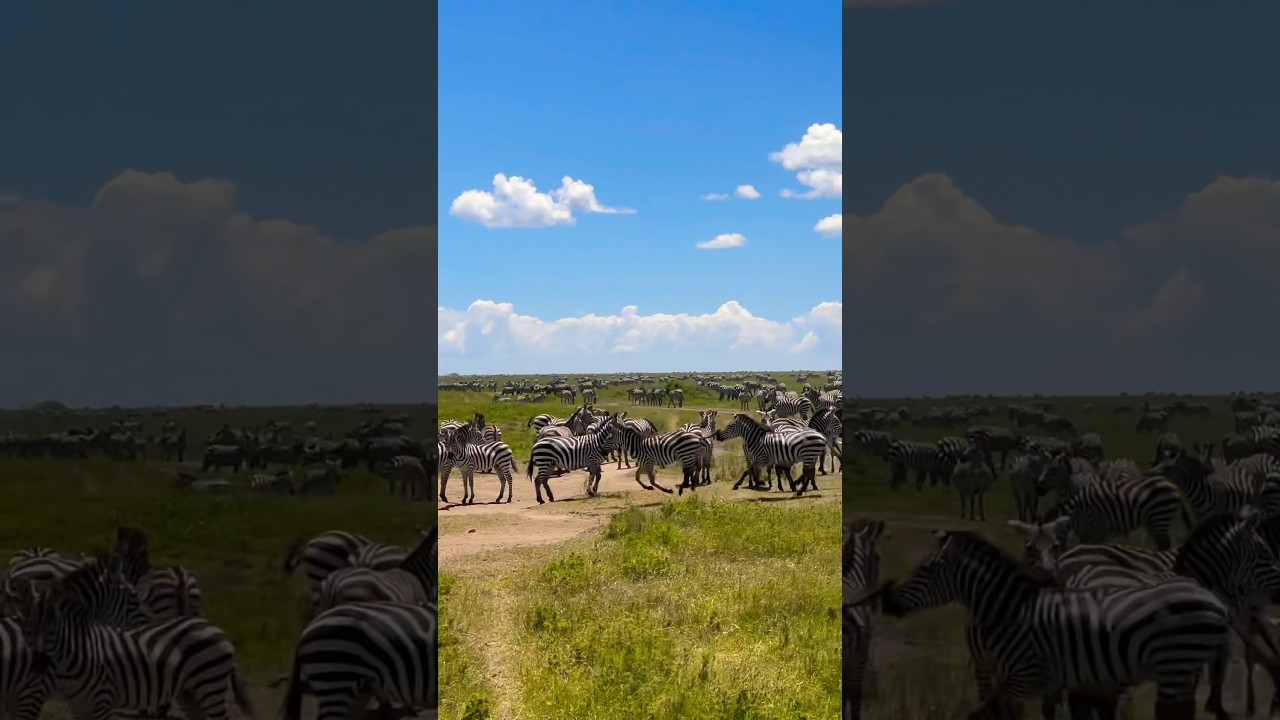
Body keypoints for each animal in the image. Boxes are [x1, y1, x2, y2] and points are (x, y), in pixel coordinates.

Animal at [27, 559, 256, 720]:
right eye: (30, 624)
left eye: (53, 627)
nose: (37, 665)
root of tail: (217, 630)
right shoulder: (77, 705)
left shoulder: (100, 701)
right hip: (190, 690)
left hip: (210, 684)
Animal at [865, 529, 1239, 720]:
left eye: (925, 570)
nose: (888, 600)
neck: (1011, 611)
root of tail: (1213, 599)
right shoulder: (1017, 679)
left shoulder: (1023, 678)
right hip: (1181, 667)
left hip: (1175, 662)